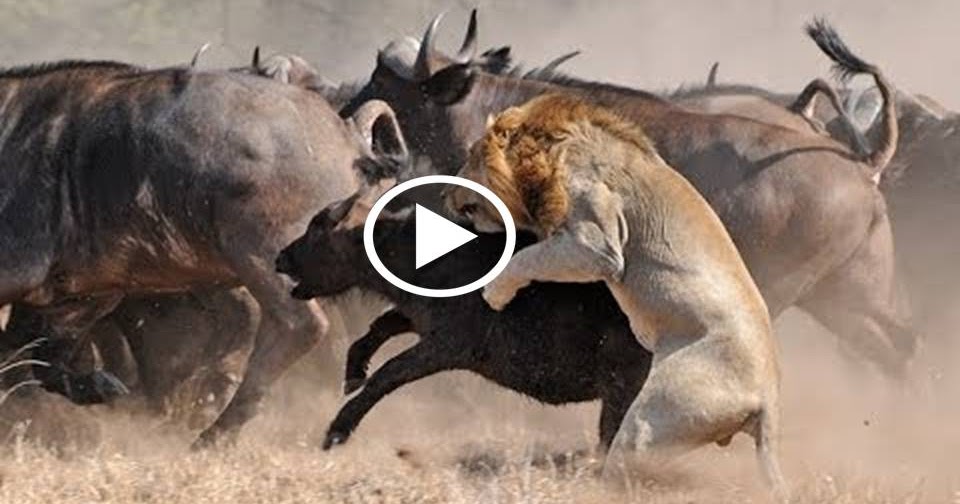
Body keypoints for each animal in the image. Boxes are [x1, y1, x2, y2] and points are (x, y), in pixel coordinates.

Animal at [444, 93, 787, 499]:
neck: (551, 152)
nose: (444, 193)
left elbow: (527, 258)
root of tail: (767, 397)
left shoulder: (596, 246)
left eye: (470, 156)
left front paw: (494, 293)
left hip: (651, 419)